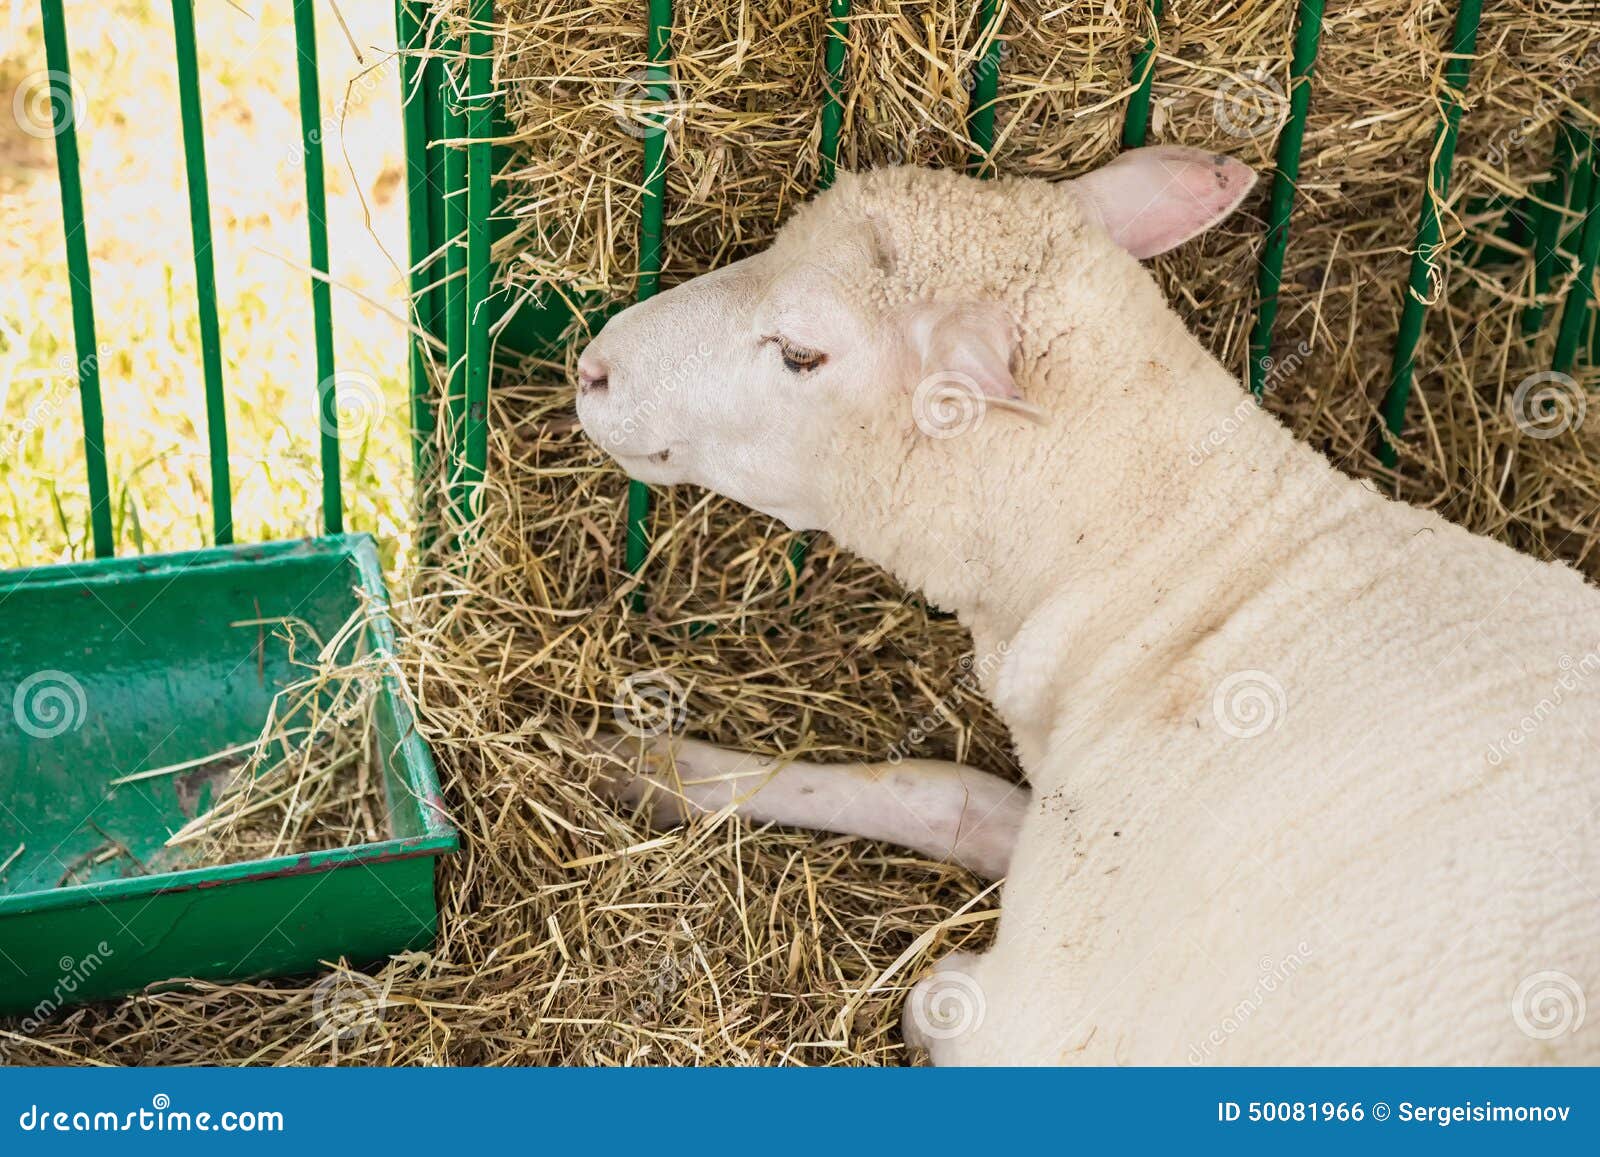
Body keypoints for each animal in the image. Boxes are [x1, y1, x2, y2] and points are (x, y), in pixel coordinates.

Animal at [574, 146, 1600, 1065]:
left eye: (799, 352)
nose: (594, 367)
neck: (1191, 565)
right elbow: (948, 791)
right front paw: (645, 763)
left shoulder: (1043, 1009)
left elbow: (936, 994)